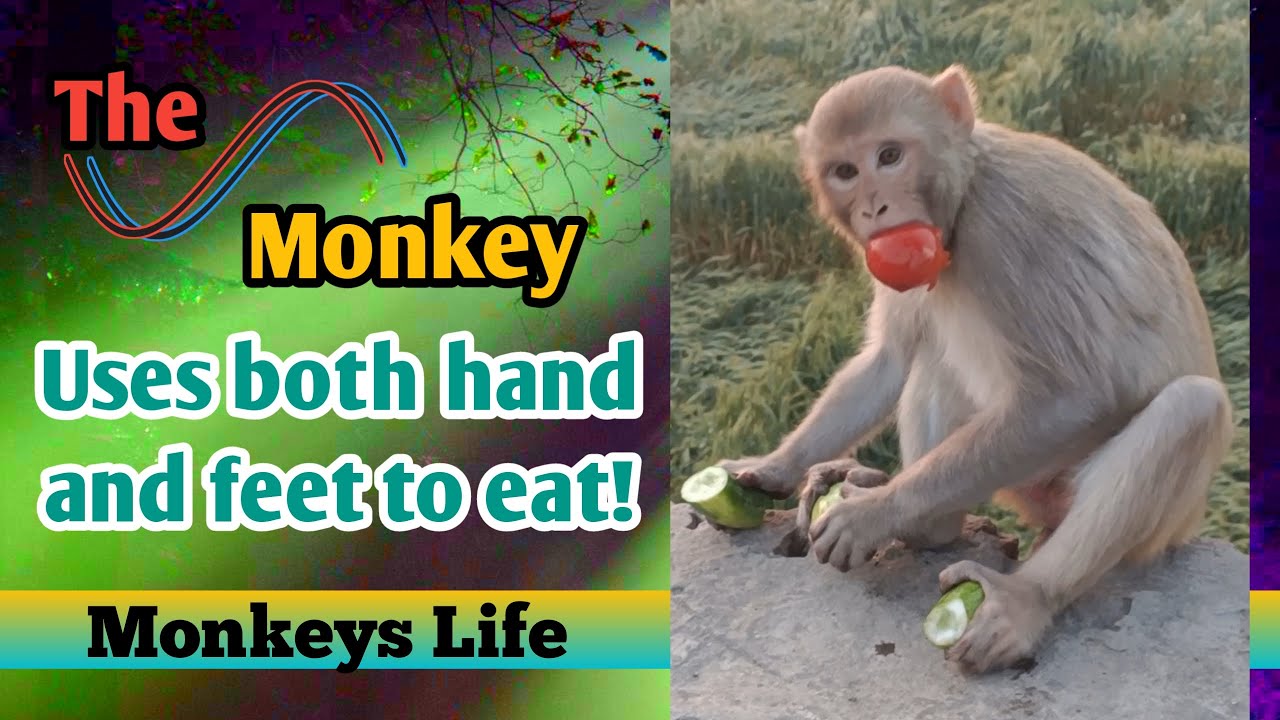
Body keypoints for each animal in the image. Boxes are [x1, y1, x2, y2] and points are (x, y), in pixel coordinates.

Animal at [717, 64, 1234, 674]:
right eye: (845, 172)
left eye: (889, 156)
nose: (874, 209)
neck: (963, 195)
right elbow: (889, 360)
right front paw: (777, 465)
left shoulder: (1010, 226)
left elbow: (1073, 397)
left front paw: (874, 515)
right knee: (934, 360)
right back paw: (924, 524)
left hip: (1155, 516)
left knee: (1190, 408)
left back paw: (1024, 598)